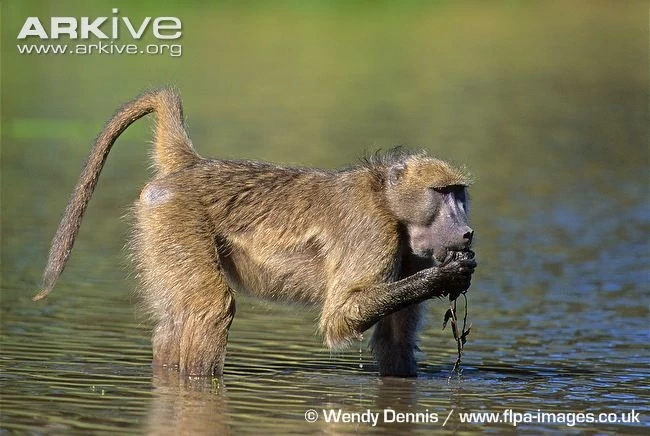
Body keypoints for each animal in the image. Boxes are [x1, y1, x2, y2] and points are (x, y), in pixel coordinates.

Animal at [34, 87, 476, 377]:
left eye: (459, 193)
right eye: (441, 193)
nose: (468, 233)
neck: (386, 201)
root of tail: (190, 166)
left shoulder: (407, 255)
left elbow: (395, 345)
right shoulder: (372, 231)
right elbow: (340, 318)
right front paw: (445, 276)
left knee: (176, 321)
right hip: (174, 219)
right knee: (210, 306)